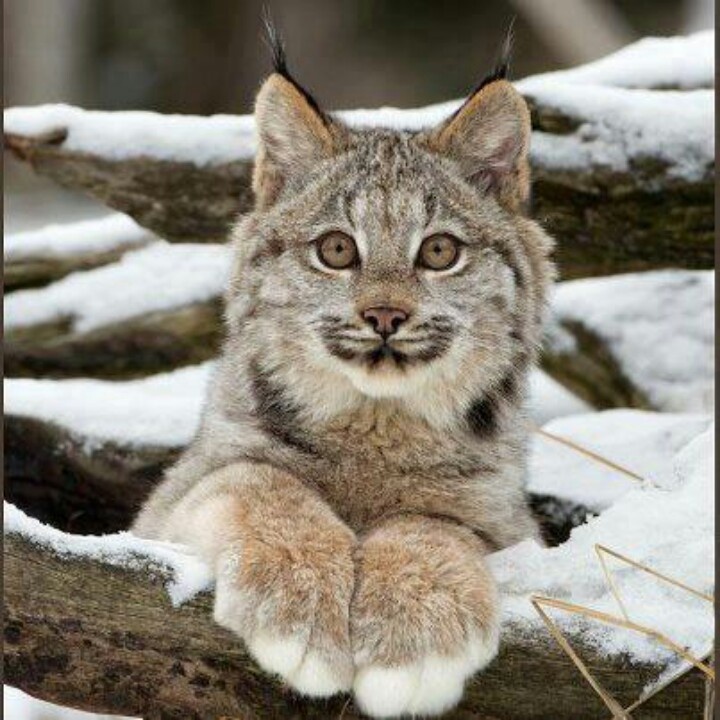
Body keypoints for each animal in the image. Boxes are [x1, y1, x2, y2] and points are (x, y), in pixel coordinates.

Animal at [134, 26, 554, 718]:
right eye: (336, 250)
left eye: (439, 251)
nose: (384, 315)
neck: (375, 422)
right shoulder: (168, 505)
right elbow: (257, 480)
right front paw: (299, 603)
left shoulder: (512, 527)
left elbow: (434, 523)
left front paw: (414, 633)